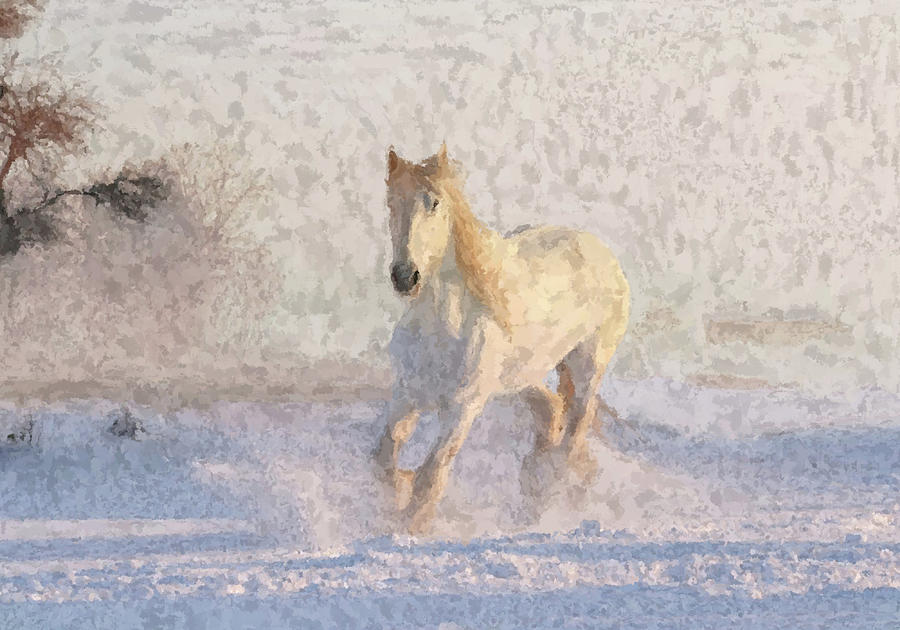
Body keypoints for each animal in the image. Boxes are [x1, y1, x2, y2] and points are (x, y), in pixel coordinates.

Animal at [375, 143, 631, 534]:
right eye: (391, 203)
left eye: (434, 203)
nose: (405, 276)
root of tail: (599, 249)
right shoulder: (407, 395)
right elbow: (385, 460)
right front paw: (396, 500)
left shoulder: (462, 408)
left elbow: (431, 477)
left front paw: (411, 528)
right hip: (524, 375)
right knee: (552, 413)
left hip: (588, 365)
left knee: (574, 432)